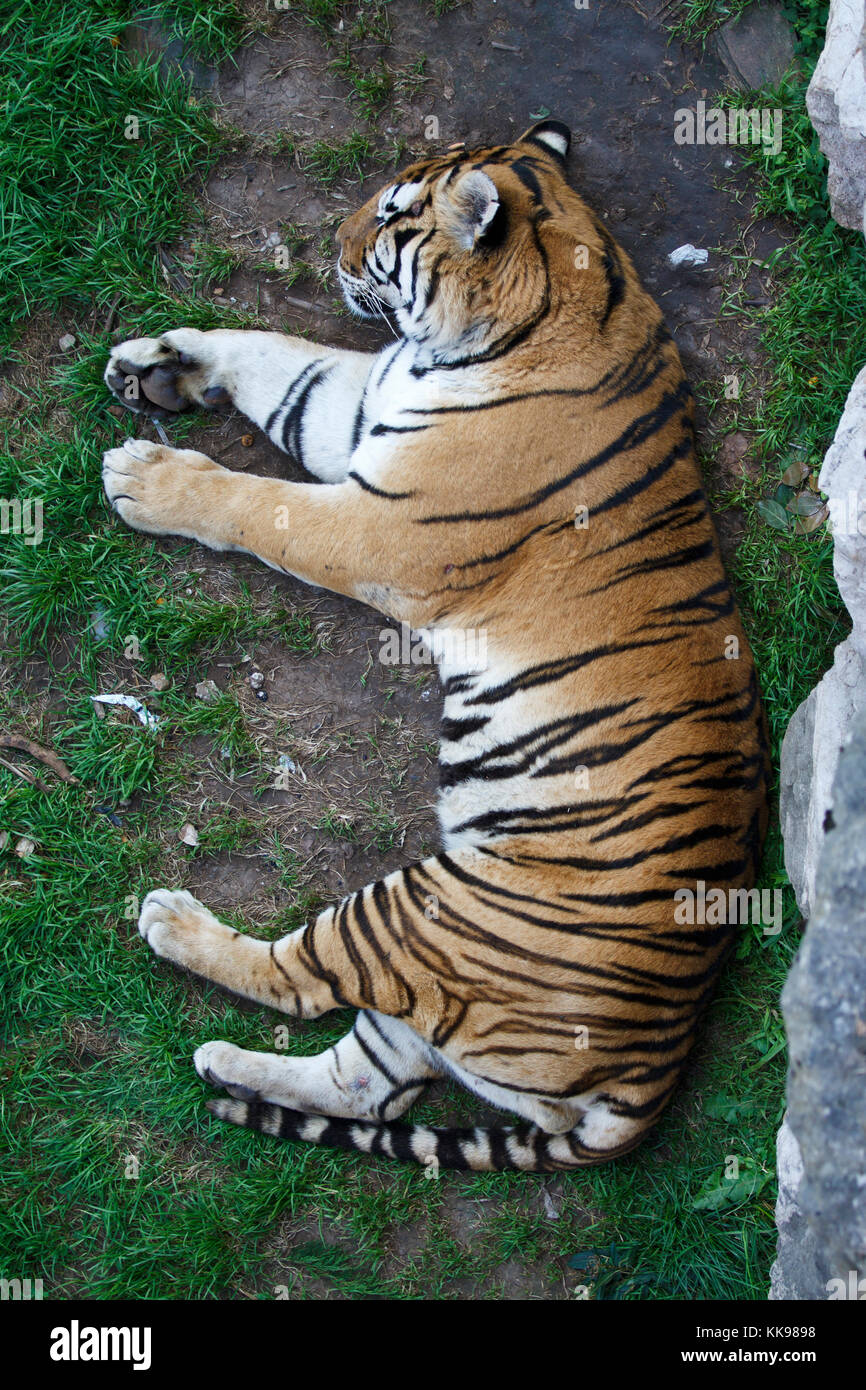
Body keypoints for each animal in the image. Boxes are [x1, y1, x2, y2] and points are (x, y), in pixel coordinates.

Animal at [101, 119, 769, 1171]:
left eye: (391, 217)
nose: (330, 248)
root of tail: (649, 1076)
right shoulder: (354, 403)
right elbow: (272, 355)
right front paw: (158, 359)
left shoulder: (380, 525)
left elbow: (255, 502)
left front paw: (146, 475)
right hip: (435, 999)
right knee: (366, 1084)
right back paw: (224, 1066)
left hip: (428, 911)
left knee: (305, 979)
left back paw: (171, 922)